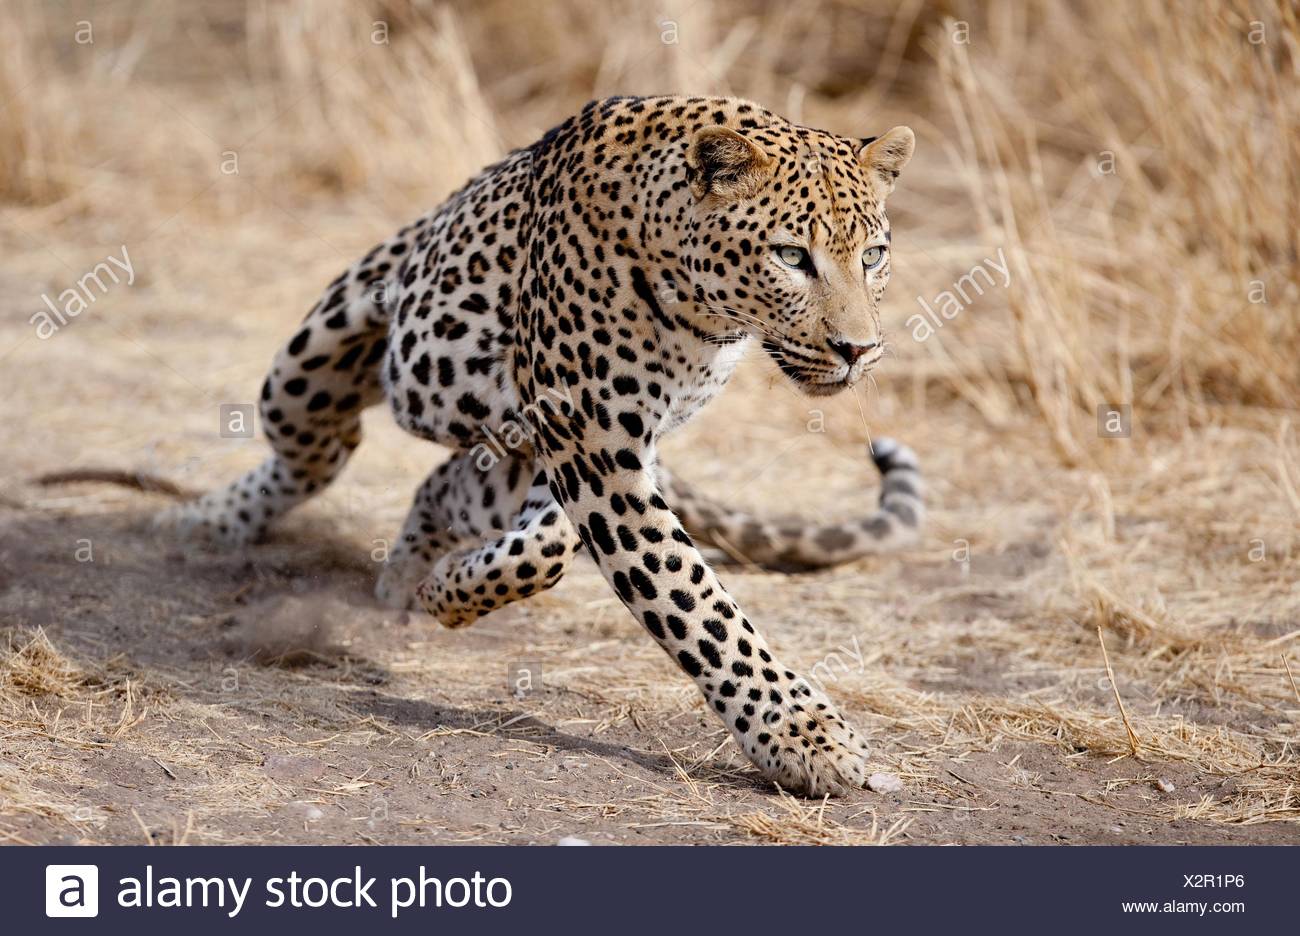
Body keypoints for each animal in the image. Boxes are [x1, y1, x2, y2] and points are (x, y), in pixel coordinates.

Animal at [157, 95, 924, 797]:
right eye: (791, 257)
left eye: (874, 256)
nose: (859, 350)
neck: (701, 315)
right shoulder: (592, 440)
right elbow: (694, 600)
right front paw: (804, 735)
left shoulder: (603, 444)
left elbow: (547, 551)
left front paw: (449, 592)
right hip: (314, 357)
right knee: (318, 449)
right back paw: (205, 523)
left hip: (498, 444)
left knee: (441, 485)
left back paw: (406, 575)